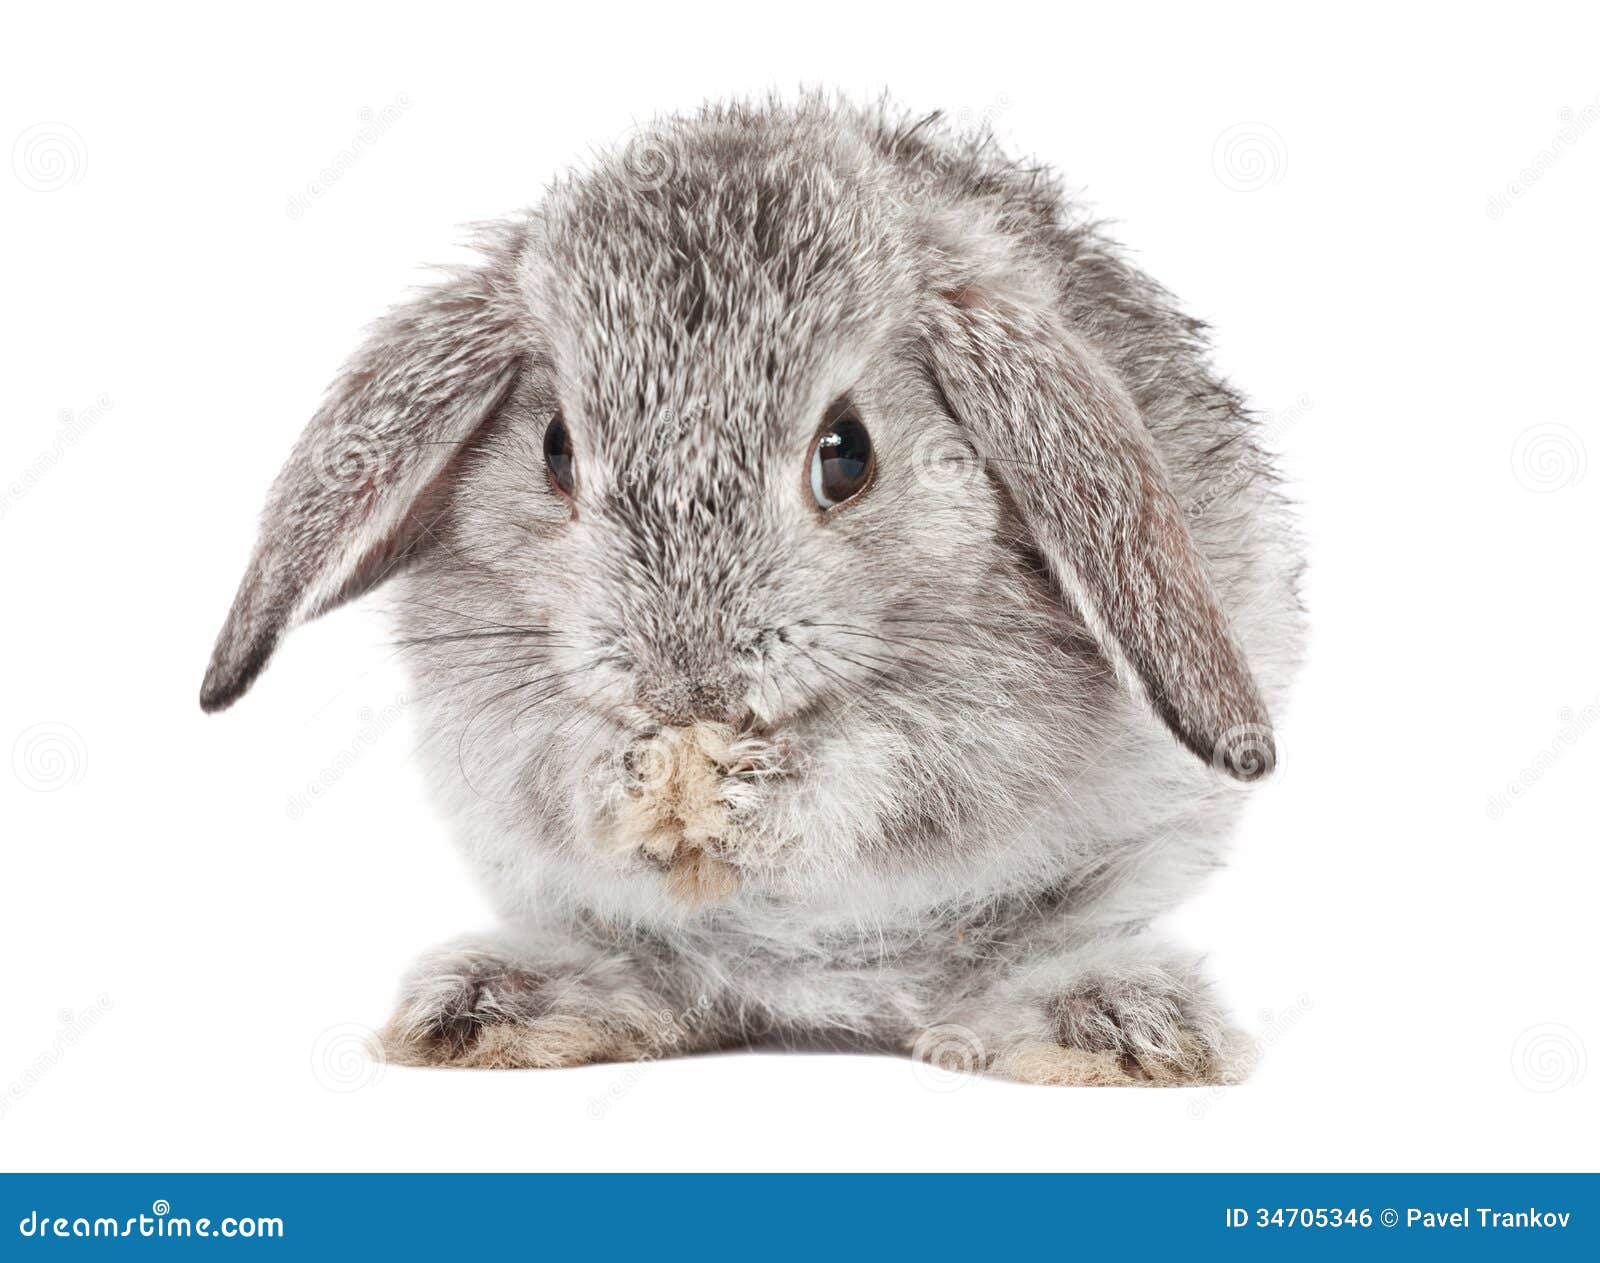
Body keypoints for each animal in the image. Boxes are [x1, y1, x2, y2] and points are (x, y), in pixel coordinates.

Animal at [200, 95, 1303, 1085]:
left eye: (847, 454)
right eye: (555, 449)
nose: (688, 682)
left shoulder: (987, 727)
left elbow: (892, 786)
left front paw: (748, 790)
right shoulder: (494, 701)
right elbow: (554, 775)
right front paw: (637, 777)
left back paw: (1114, 1026)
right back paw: (497, 1011)